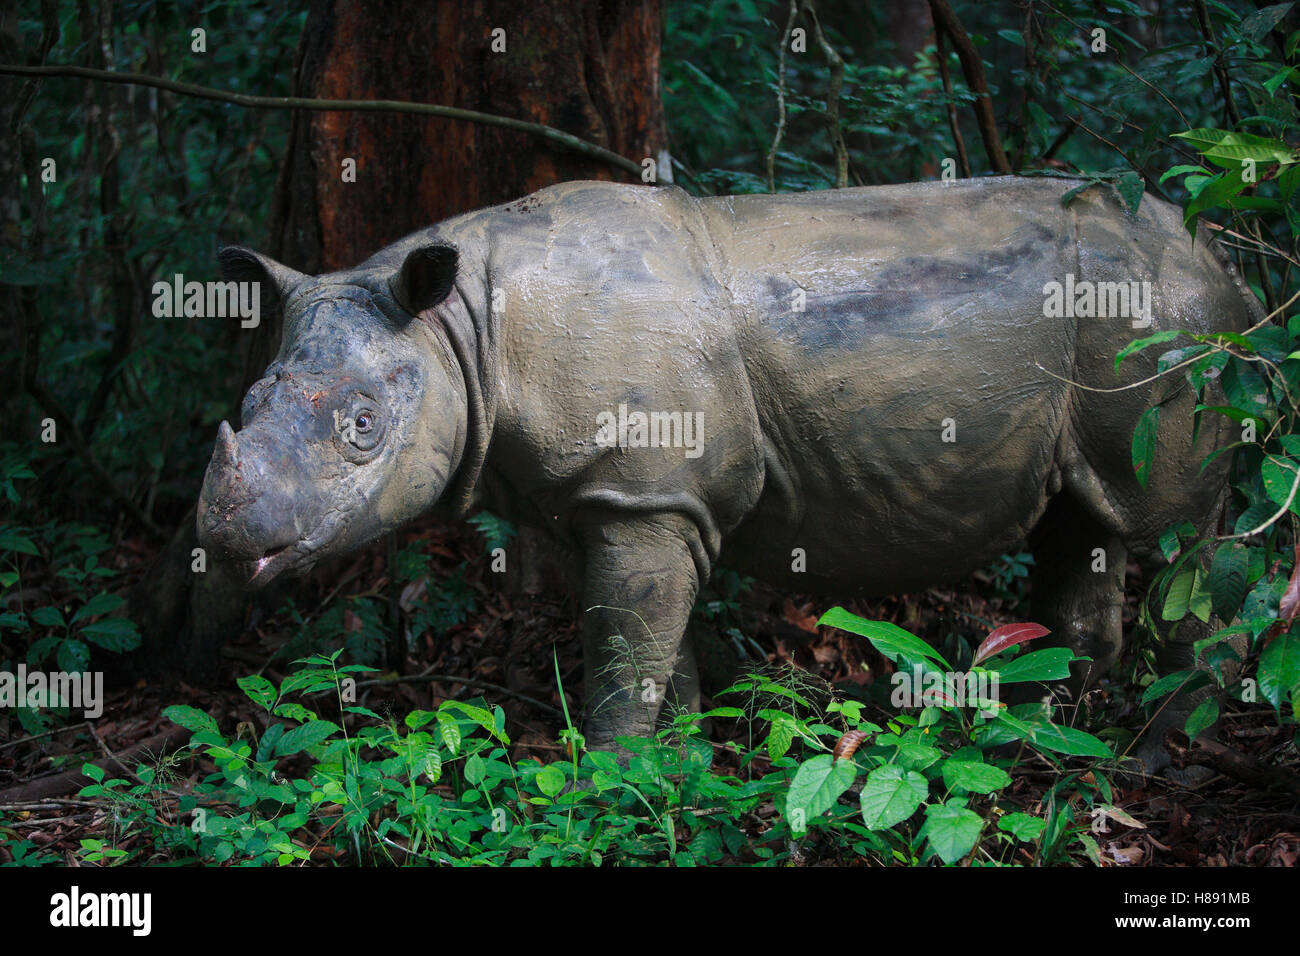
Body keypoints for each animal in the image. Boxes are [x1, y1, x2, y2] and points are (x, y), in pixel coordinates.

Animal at [198, 176, 1259, 766]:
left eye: (364, 428)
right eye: (245, 406)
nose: (222, 537)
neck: (466, 333)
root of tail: (1222, 262)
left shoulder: (641, 494)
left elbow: (624, 652)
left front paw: (606, 783)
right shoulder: (627, 498)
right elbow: (659, 651)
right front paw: (681, 772)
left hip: (1165, 324)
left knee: (1174, 539)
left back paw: (1153, 757)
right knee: (1086, 525)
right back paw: (1045, 737)